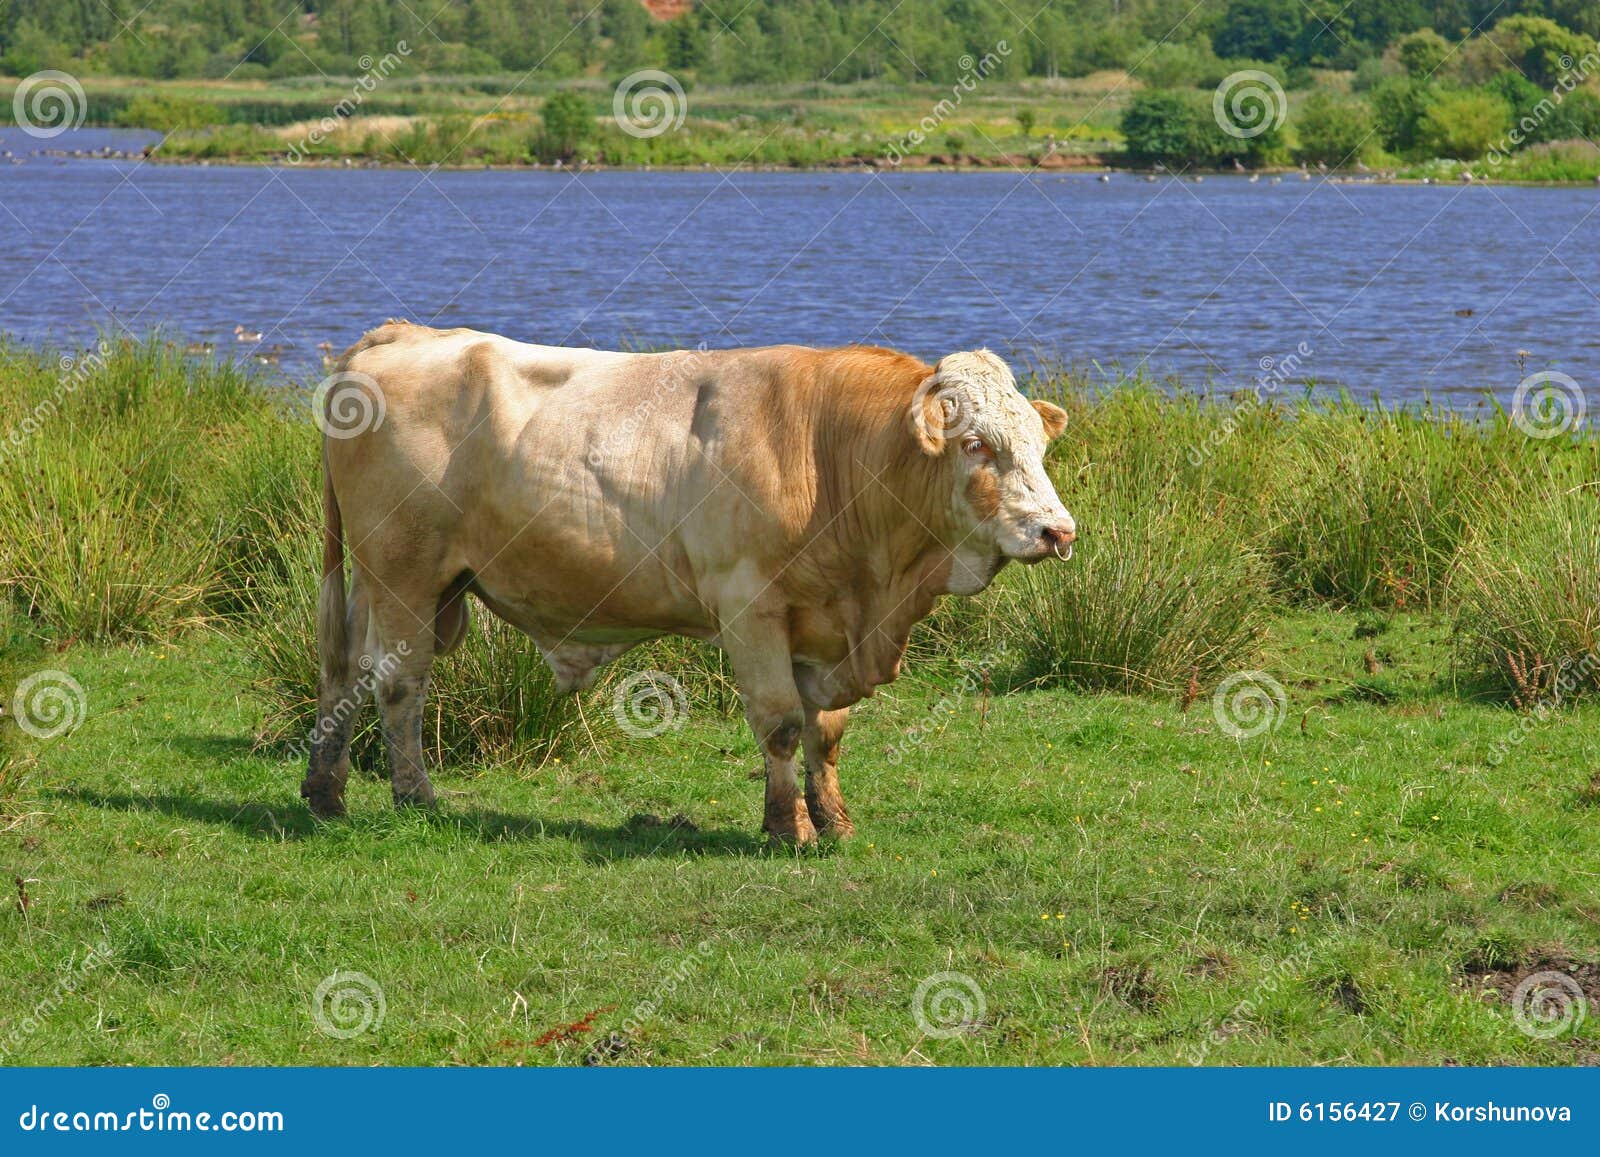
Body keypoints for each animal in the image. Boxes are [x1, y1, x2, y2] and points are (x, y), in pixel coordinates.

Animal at [301, 323, 1076, 845]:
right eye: (975, 444)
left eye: (1038, 445)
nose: (1057, 531)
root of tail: (402, 335)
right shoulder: (750, 607)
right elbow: (781, 723)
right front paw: (787, 827)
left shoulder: (823, 626)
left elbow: (825, 733)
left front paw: (834, 820)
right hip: (403, 572)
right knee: (399, 684)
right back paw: (416, 798)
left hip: (386, 583)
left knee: (346, 673)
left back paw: (325, 793)